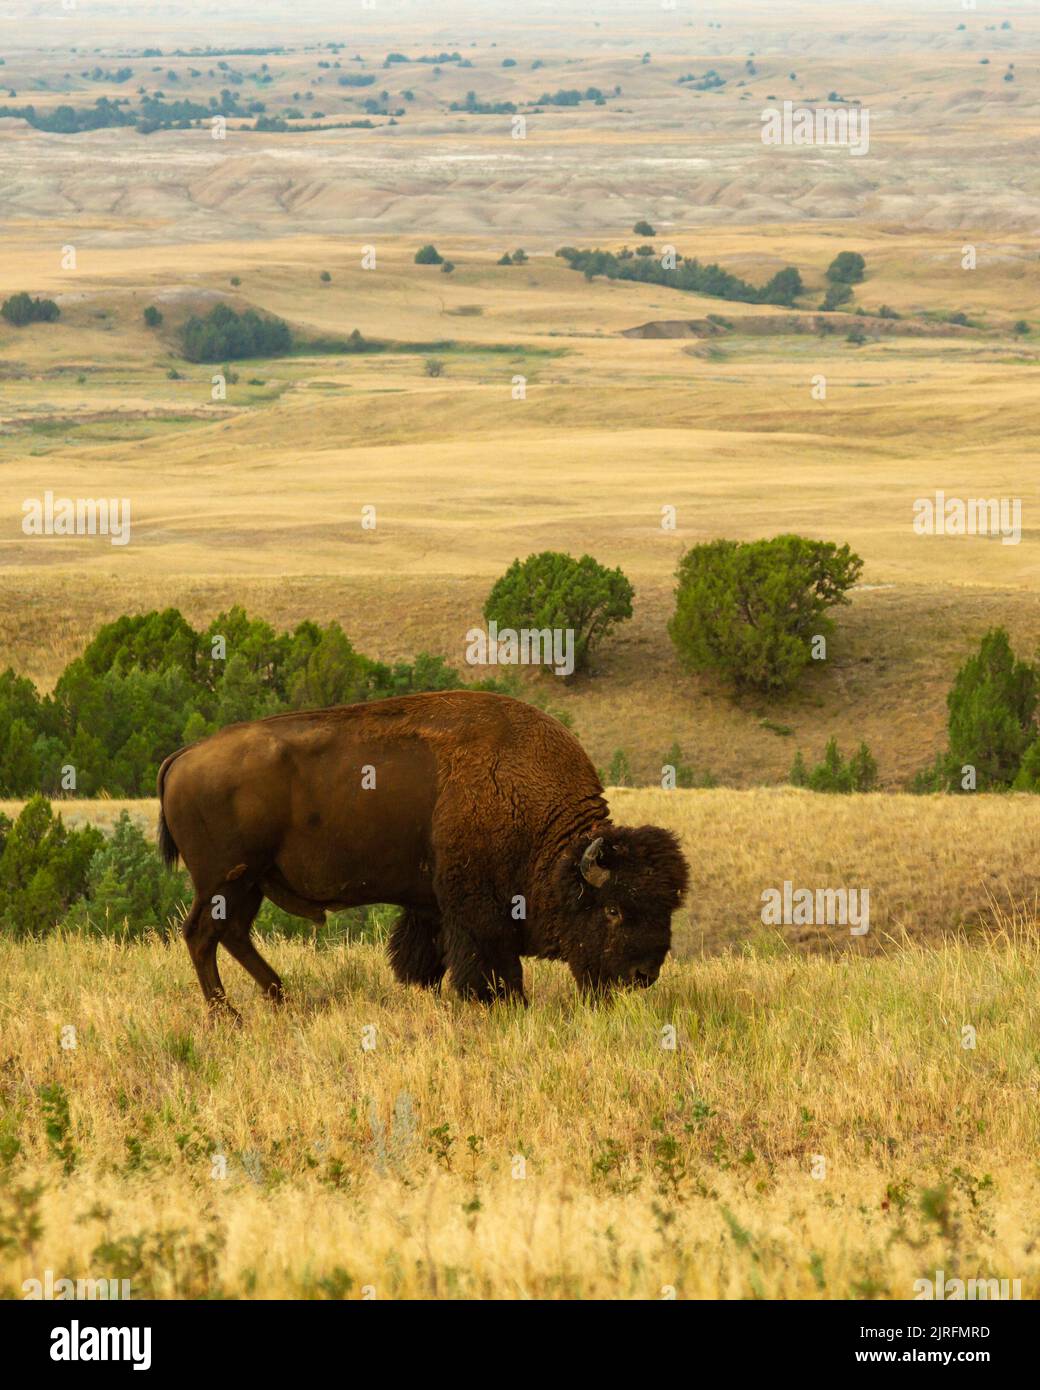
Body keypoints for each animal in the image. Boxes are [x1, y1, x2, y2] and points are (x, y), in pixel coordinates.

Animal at [156, 690, 689, 1019]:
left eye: (667, 908)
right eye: (614, 910)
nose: (644, 975)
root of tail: (185, 755)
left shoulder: (431, 907)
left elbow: (424, 960)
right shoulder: (477, 914)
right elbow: (495, 970)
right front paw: (506, 1006)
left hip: (250, 883)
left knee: (232, 936)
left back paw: (280, 998)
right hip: (225, 880)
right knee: (203, 936)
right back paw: (230, 1017)